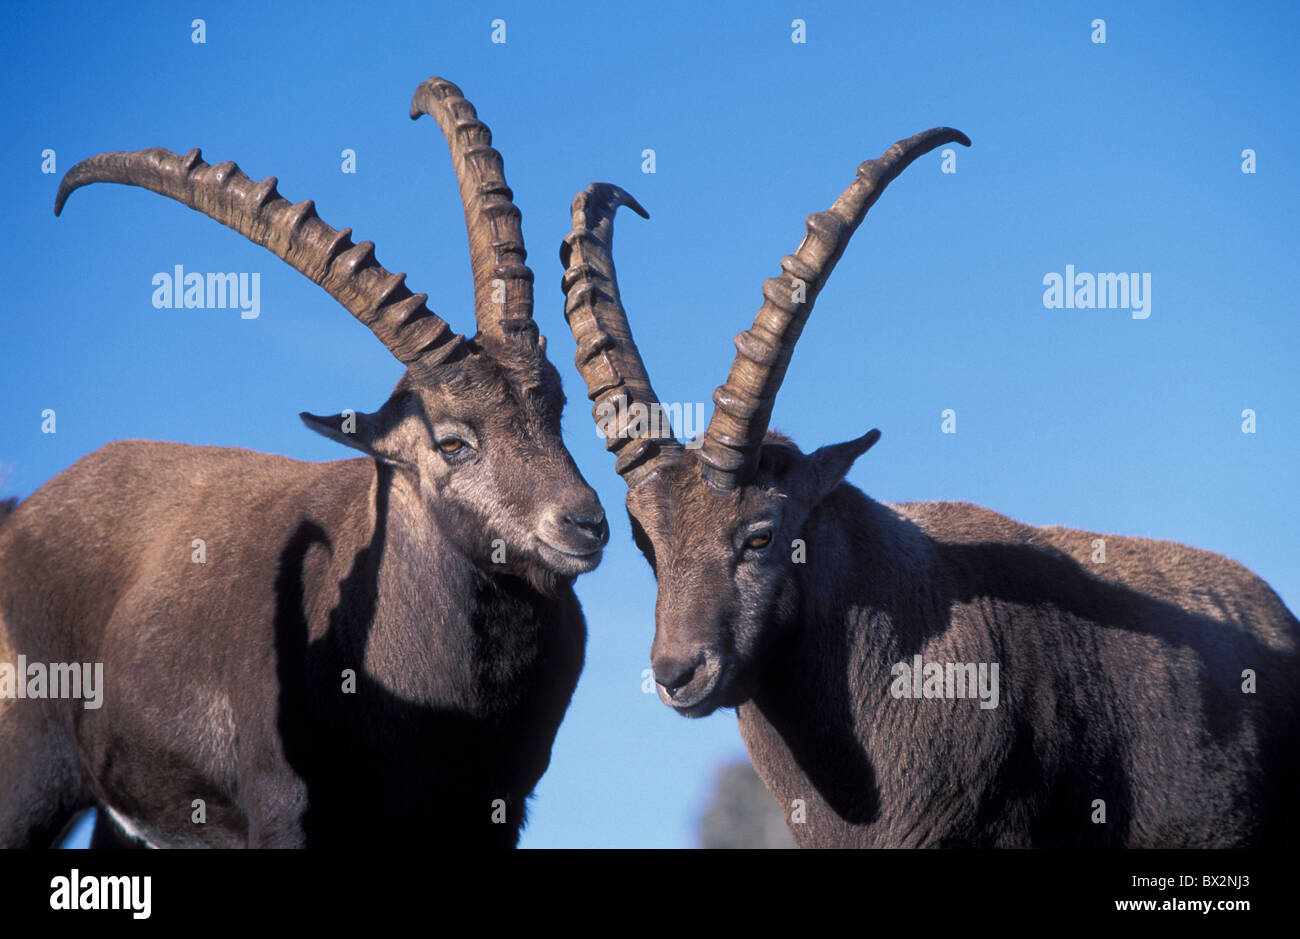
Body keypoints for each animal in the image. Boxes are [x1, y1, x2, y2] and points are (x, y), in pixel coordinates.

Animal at [0, 77, 607, 848]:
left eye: (557, 409)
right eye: (452, 442)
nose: (585, 524)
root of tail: (22, 516)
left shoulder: (497, 811)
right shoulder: (283, 803)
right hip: (29, 763)